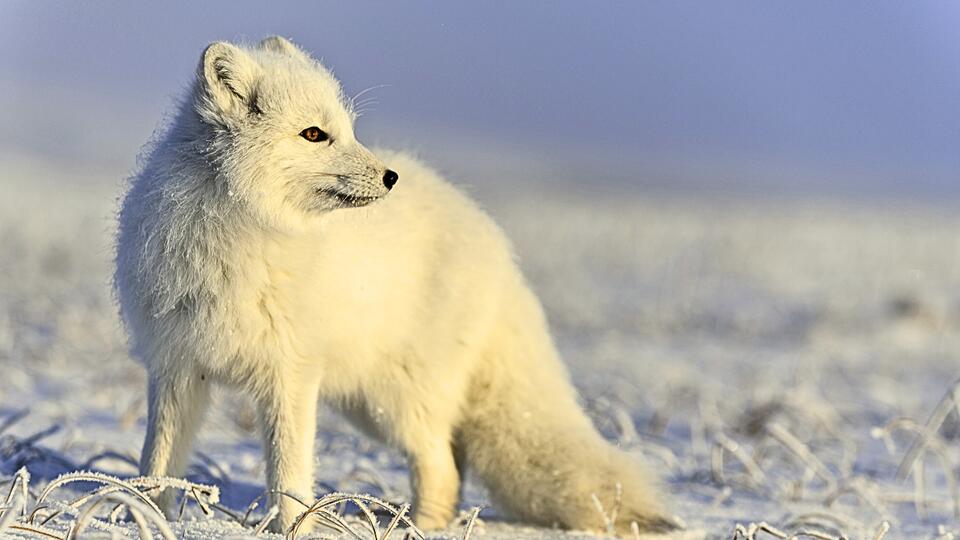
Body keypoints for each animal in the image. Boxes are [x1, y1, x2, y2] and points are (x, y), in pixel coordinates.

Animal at [114, 36, 677, 535]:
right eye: (314, 134)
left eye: (348, 130)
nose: (390, 178)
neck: (243, 235)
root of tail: (496, 245)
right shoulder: (176, 369)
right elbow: (156, 462)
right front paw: (145, 518)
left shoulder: (290, 376)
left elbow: (289, 475)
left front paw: (289, 529)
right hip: (368, 403)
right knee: (453, 462)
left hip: (397, 402)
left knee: (442, 467)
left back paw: (420, 528)